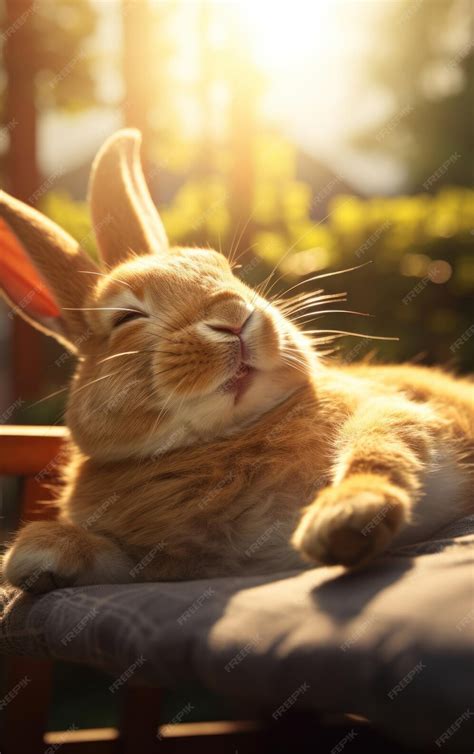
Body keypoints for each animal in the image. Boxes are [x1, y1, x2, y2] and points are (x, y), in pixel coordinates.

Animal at [0, 129, 473, 594]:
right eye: (125, 318)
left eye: (227, 270)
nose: (234, 317)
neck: (226, 437)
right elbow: (120, 561)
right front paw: (39, 554)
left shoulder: (401, 418)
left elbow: (379, 451)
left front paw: (344, 517)